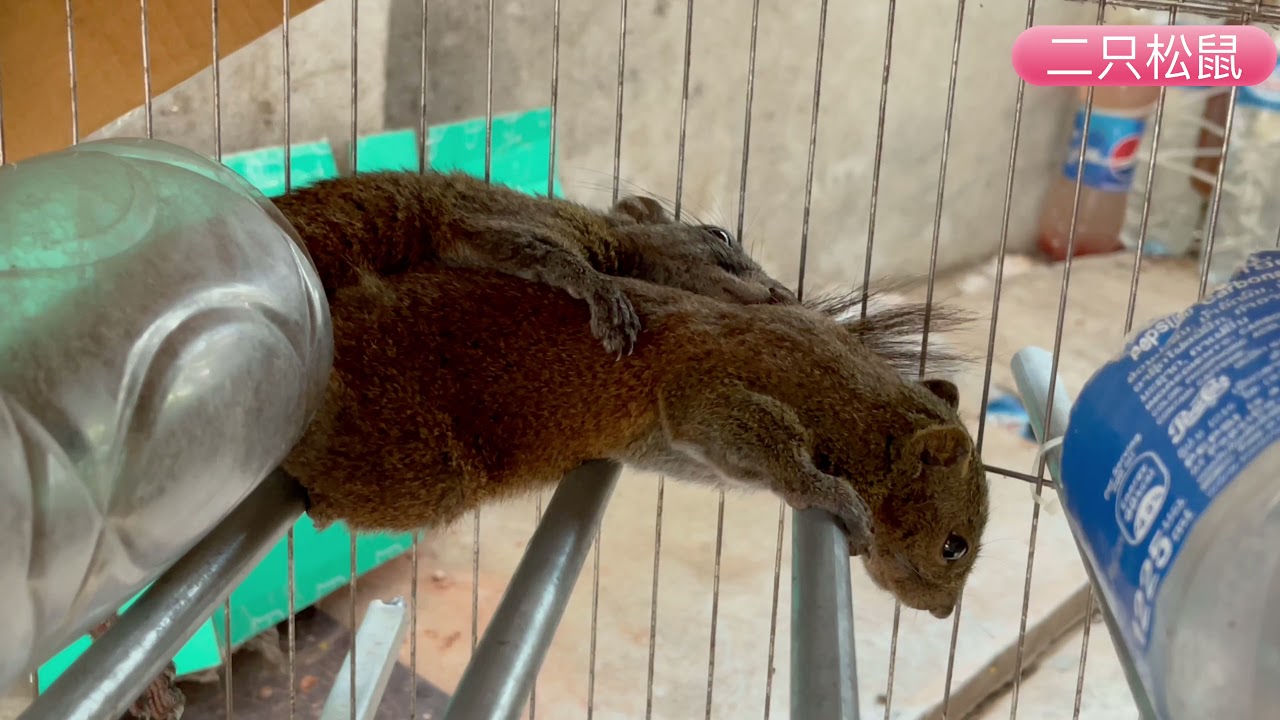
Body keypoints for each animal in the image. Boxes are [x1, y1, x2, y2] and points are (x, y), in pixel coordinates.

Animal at [283, 266, 987, 619]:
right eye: (953, 545)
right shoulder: (723, 383)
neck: (859, 405)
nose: (945, 612)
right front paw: (827, 491)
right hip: (417, 463)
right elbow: (738, 424)